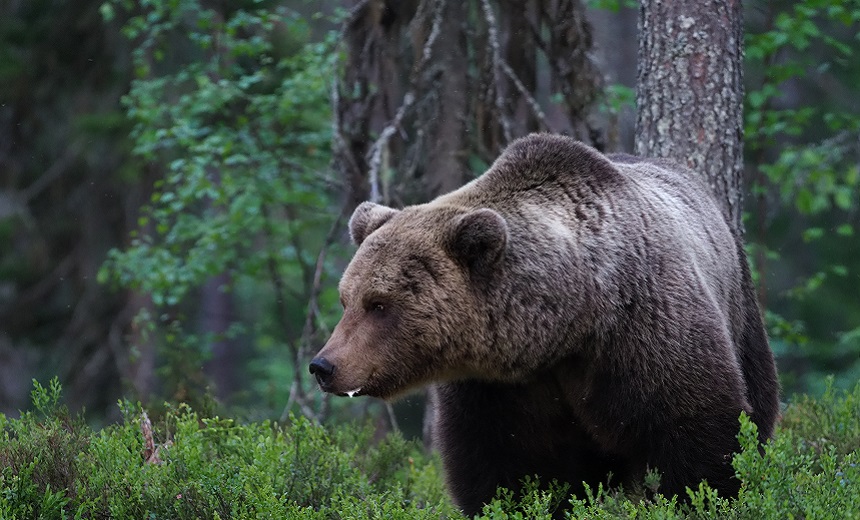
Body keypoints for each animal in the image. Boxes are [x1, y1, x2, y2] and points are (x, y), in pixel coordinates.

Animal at [310, 133, 780, 516]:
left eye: (379, 303)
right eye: (346, 299)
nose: (323, 366)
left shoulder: (643, 333)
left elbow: (699, 438)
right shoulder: (498, 390)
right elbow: (500, 470)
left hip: (741, 311)